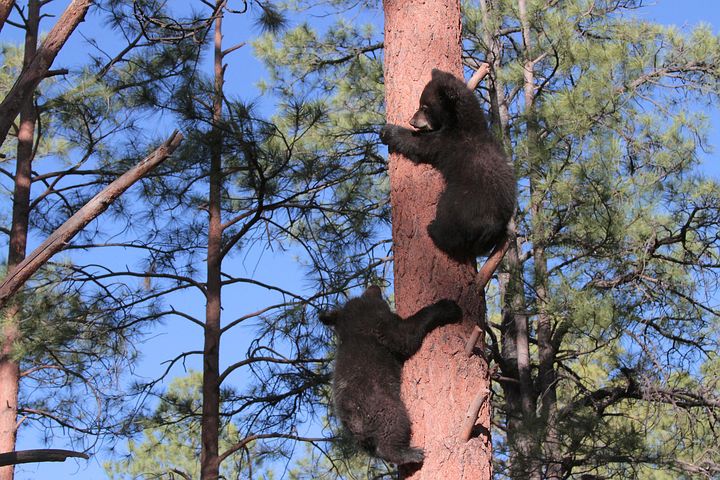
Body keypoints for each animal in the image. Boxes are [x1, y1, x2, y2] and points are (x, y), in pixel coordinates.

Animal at [319, 286, 462, 465]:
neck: (353, 329)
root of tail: (353, 422)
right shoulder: (381, 327)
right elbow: (405, 336)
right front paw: (447, 307)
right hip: (379, 405)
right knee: (394, 423)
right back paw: (408, 454)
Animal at [380, 68, 516, 263]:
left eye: (424, 107)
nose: (412, 121)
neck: (464, 123)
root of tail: (491, 226)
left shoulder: (447, 142)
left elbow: (418, 144)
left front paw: (389, 131)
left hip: (458, 205)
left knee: (449, 226)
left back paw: (433, 229)